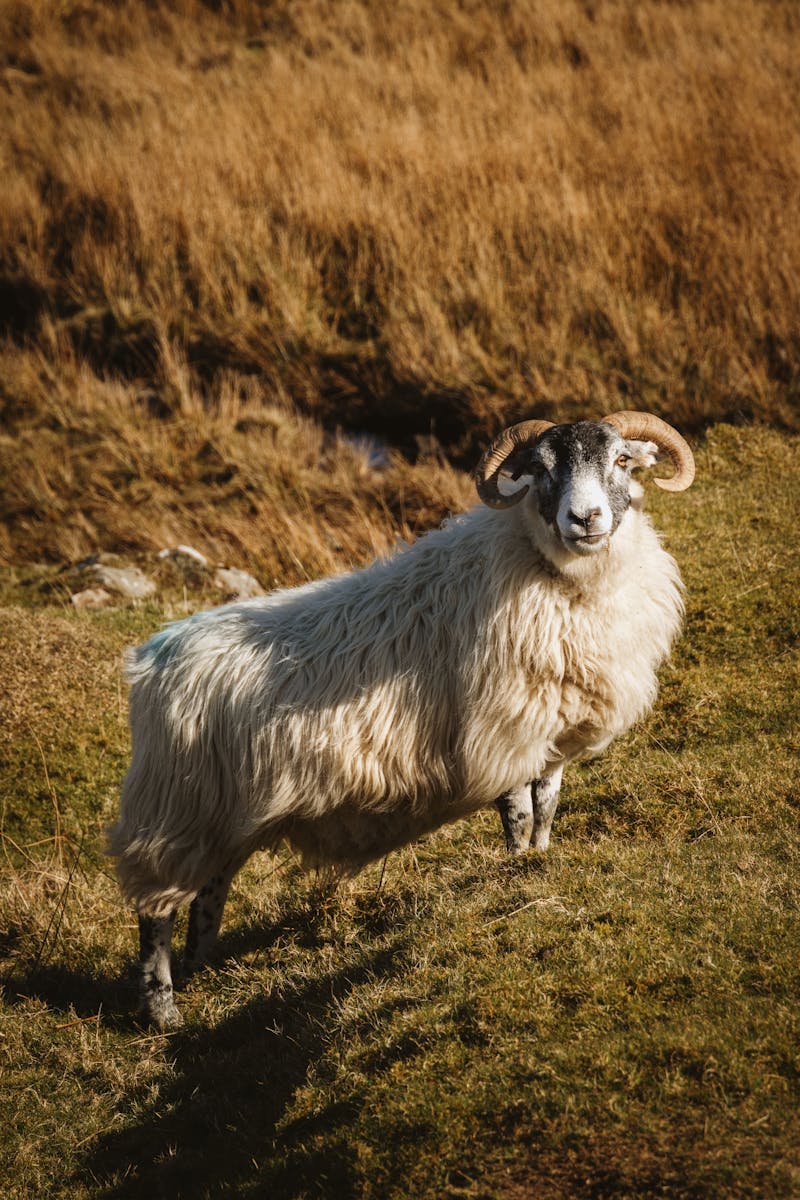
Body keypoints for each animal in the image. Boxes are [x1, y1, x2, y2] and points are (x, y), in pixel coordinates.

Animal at [108, 410, 695, 1028]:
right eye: (539, 468)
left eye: (622, 461)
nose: (584, 518)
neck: (559, 576)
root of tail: (152, 658)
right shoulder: (500, 733)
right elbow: (516, 813)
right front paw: (514, 873)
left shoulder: (550, 733)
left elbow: (547, 806)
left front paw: (541, 860)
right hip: (175, 809)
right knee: (155, 913)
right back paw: (163, 1010)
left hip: (222, 816)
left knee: (207, 892)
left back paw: (201, 967)